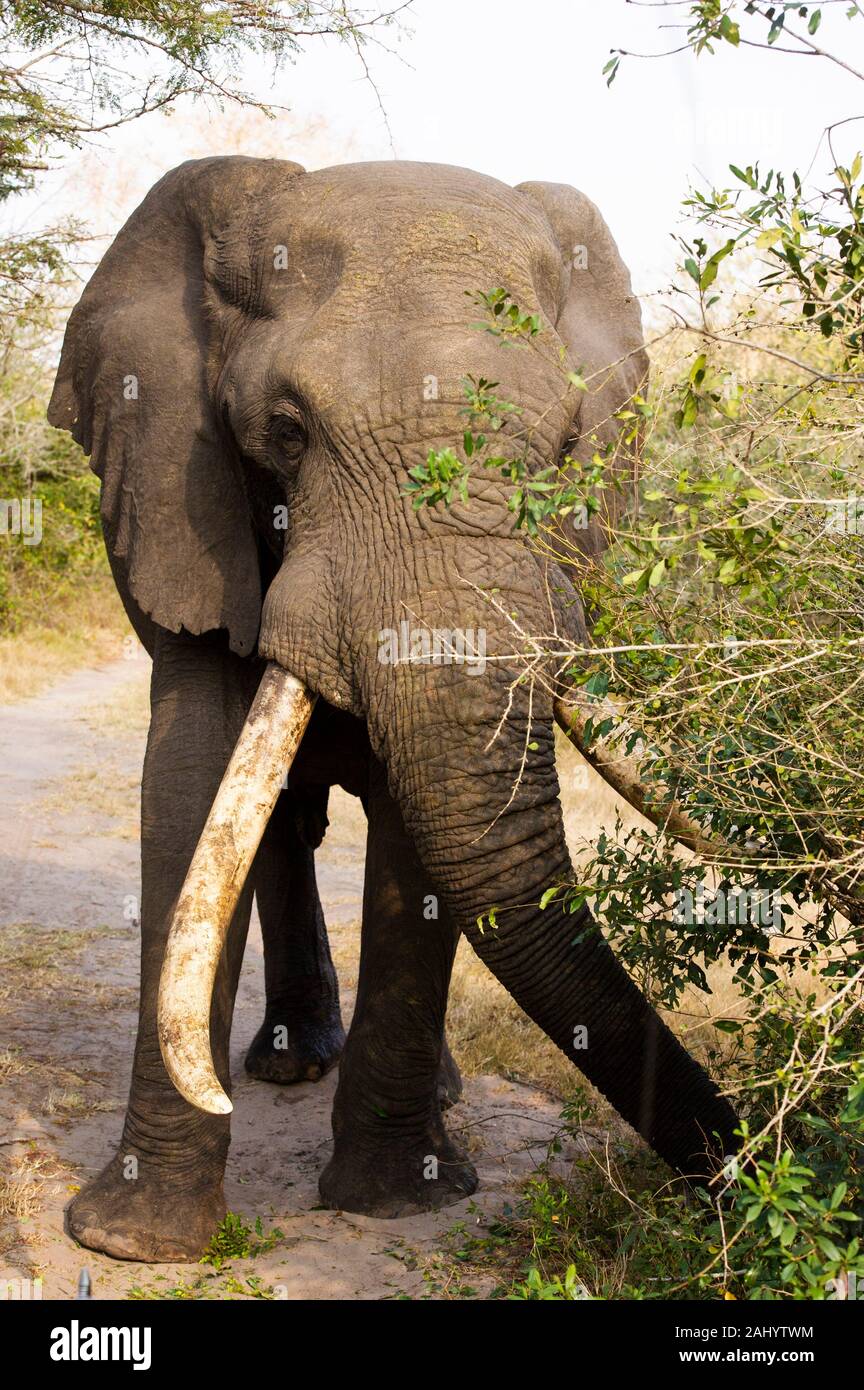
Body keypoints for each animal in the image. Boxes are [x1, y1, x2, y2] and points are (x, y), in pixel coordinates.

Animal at [47, 156, 739, 1262]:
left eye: (566, 444)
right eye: (285, 435)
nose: (746, 1162)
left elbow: (420, 841)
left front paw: (397, 1200)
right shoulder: (178, 491)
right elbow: (192, 780)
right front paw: (132, 1243)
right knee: (278, 821)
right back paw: (286, 1065)